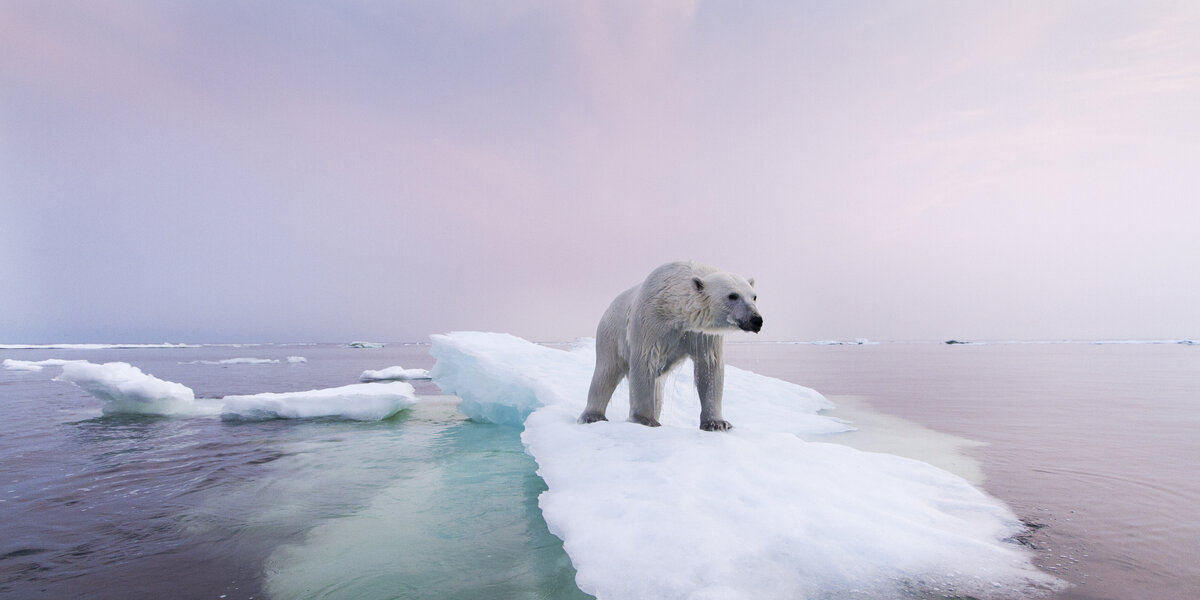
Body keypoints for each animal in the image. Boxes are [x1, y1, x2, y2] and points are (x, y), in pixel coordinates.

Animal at [578, 261, 763, 431]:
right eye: (733, 295)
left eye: (754, 296)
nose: (756, 320)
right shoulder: (650, 322)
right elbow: (645, 361)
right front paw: (645, 419)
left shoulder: (701, 334)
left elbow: (709, 366)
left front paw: (718, 423)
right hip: (611, 334)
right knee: (605, 373)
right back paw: (592, 416)